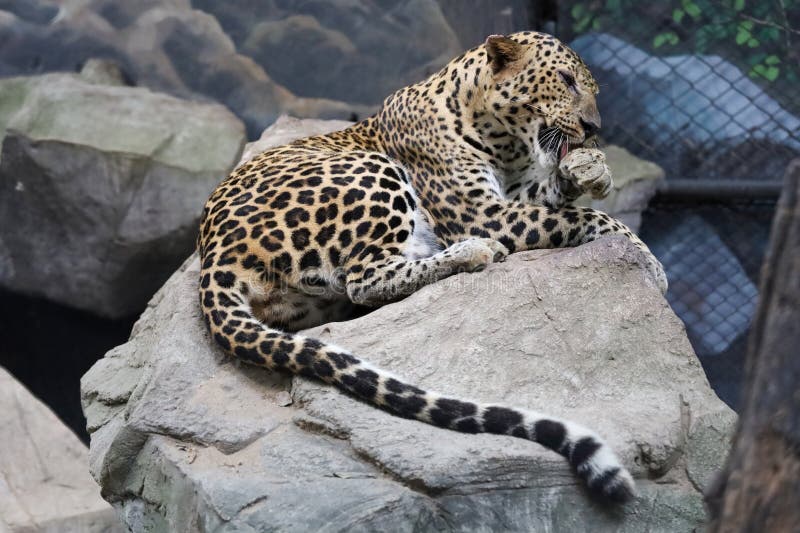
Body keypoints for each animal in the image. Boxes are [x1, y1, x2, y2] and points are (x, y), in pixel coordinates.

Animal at [197, 31, 668, 503]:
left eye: (592, 90)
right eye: (567, 80)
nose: (594, 128)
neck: (508, 144)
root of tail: (213, 256)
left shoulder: (514, 195)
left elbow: (556, 195)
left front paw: (588, 174)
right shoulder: (484, 214)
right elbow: (583, 217)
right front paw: (649, 262)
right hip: (375, 172)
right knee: (365, 279)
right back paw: (471, 252)